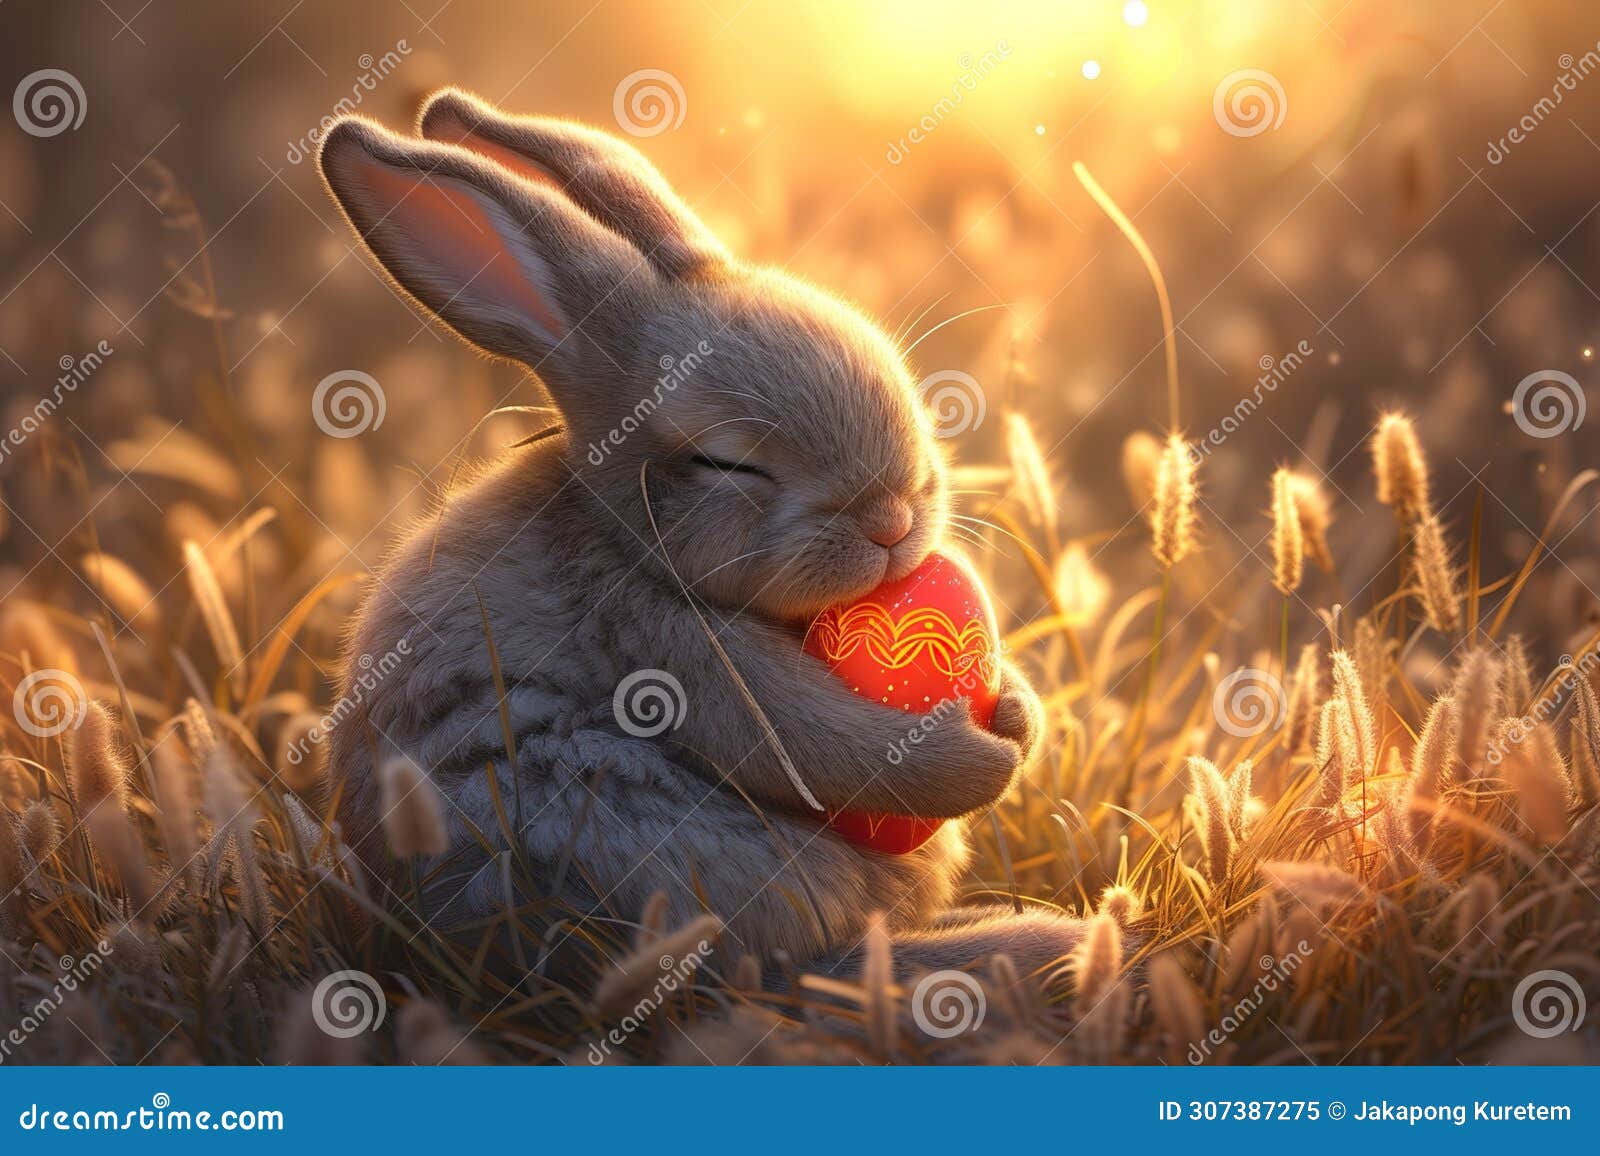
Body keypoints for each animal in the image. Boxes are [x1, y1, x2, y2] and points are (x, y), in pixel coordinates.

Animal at [317, 88, 1084, 985]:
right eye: (726, 461)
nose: (890, 521)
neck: (626, 534)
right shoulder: (656, 637)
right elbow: (807, 736)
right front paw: (981, 761)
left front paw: (1020, 718)